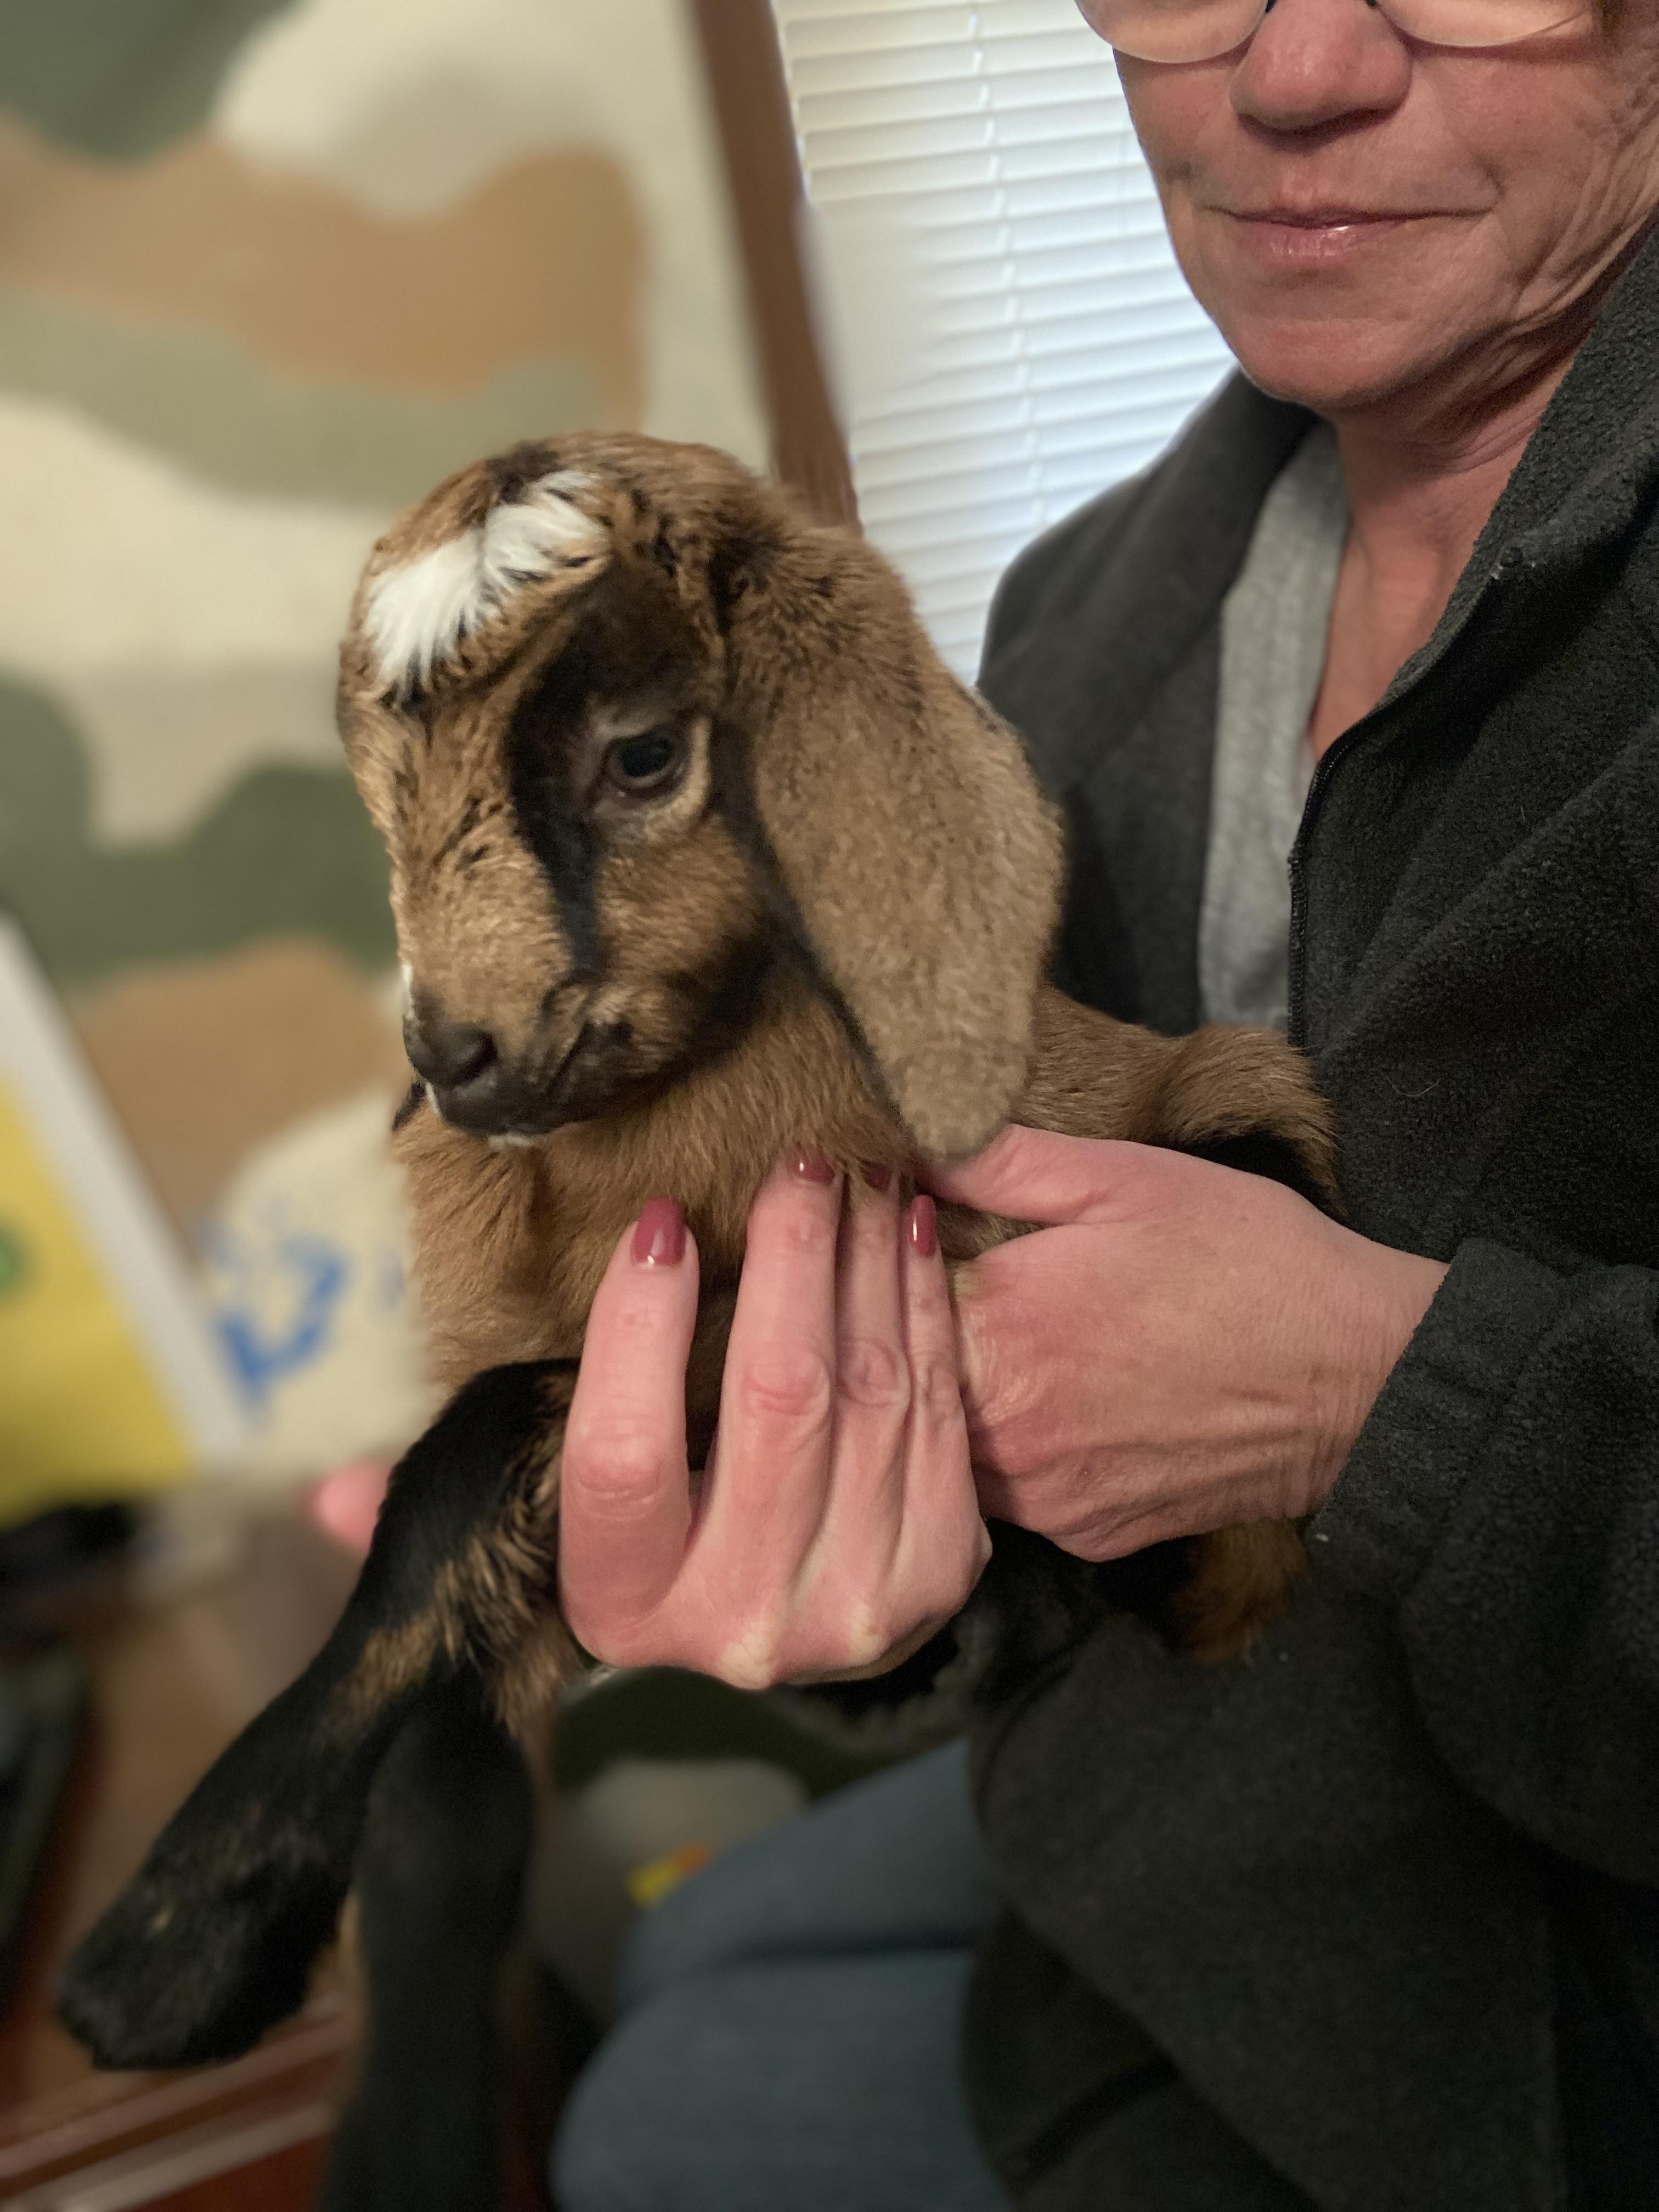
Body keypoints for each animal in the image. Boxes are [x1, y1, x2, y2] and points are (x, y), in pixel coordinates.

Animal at [59, 433, 1336, 2111]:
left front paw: (158, 1954)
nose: (452, 1059)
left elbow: (449, 1476)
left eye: (646, 756)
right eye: (383, 792)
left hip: (1243, 1127)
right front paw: (204, 1938)